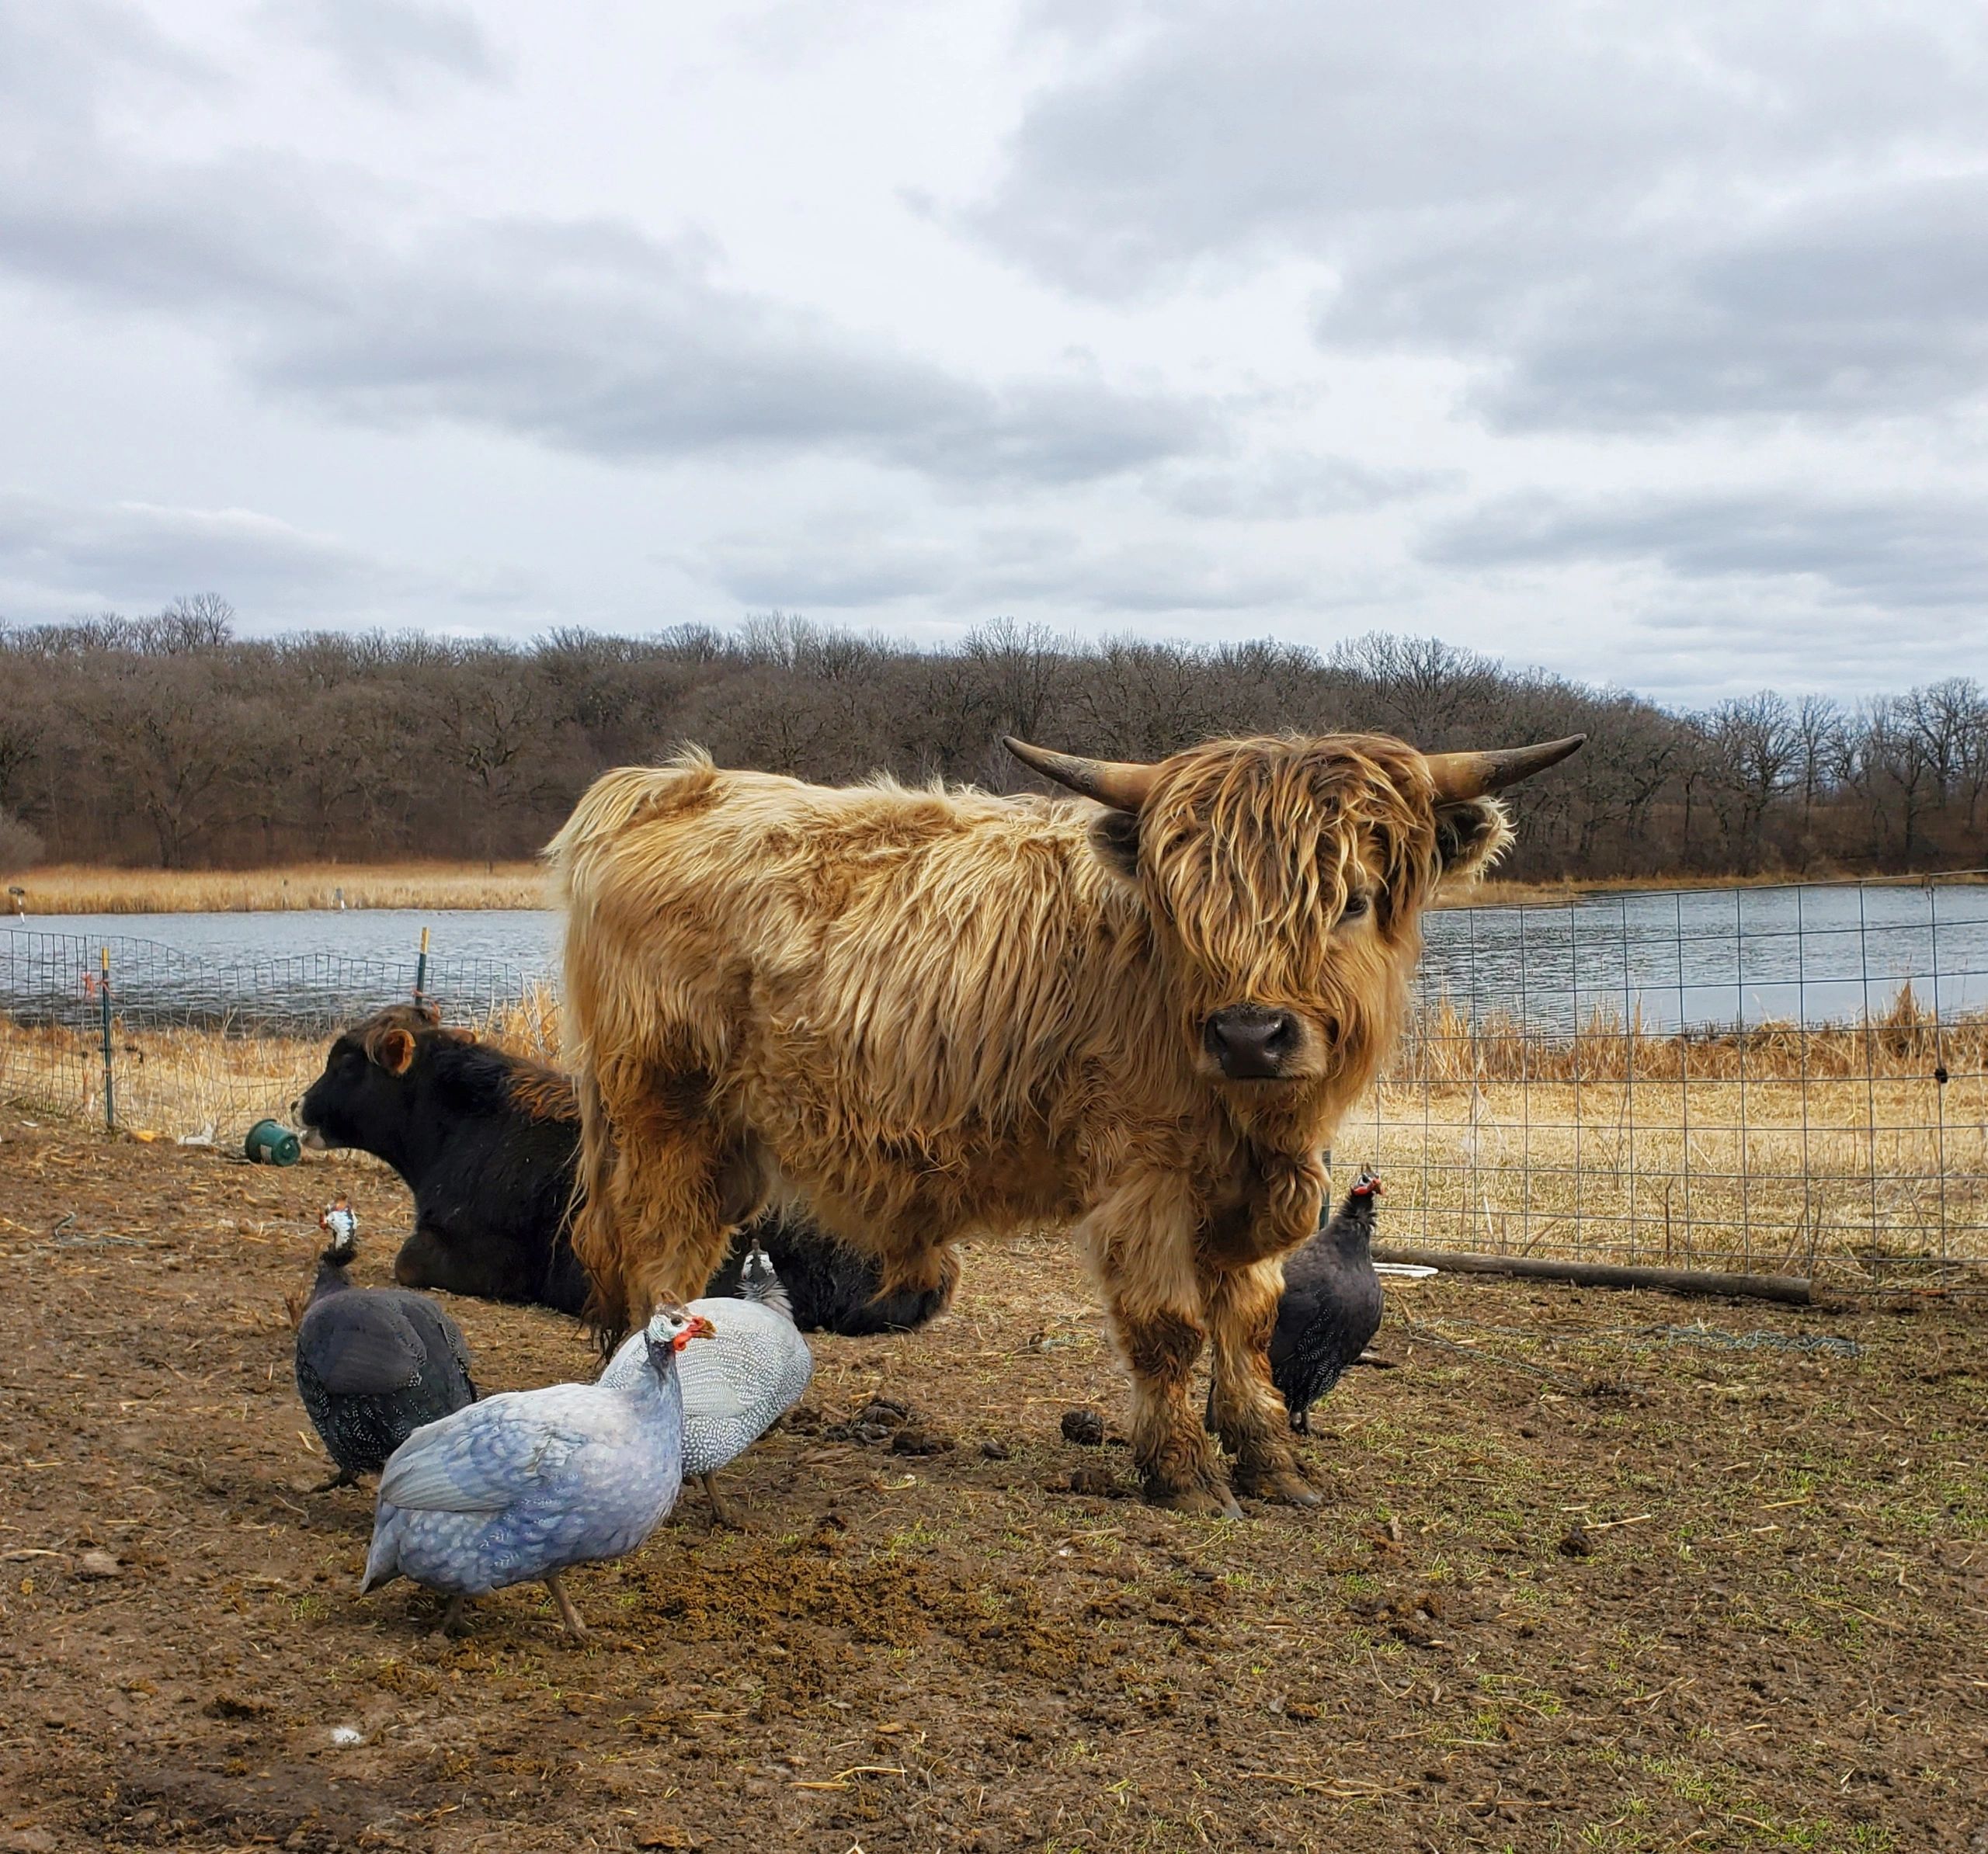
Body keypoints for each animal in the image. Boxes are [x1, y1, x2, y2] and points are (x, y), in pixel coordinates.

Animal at [550, 729, 1582, 1513]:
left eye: (1355, 903)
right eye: (1186, 912)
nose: (1250, 1033)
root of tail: (669, 785)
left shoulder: (1249, 1196)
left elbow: (1248, 1324)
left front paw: (1270, 1460)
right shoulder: (1142, 1177)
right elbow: (1169, 1327)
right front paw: (1184, 1476)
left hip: (728, 1141)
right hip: (665, 1117)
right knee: (661, 1261)